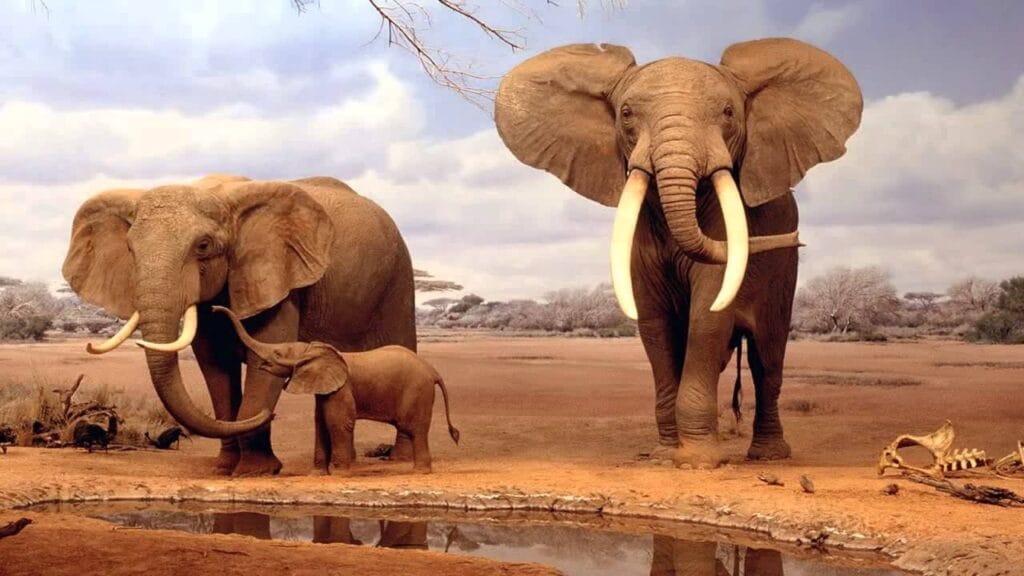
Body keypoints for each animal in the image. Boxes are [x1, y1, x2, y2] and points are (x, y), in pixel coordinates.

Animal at [62, 174, 417, 476]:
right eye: (130, 249)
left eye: (203, 246)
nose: (272, 414)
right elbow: (215, 367)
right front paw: (225, 469)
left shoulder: (277, 277)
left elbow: (265, 356)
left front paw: (255, 472)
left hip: (398, 277)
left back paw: (401, 461)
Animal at [214, 305, 460, 474]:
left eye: (278, 354)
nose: (214, 308)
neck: (312, 349)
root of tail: (433, 371)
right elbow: (320, 423)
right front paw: (318, 474)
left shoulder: (342, 389)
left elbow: (337, 422)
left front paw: (340, 474)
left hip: (417, 391)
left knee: (415, 429)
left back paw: (420, 471)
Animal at [495, 39, 862, 468]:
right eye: (626, 113)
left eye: (728, 112)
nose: (797, 238)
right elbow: (654, 324)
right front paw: (664, 455)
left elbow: (708, 316)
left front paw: (697, 462)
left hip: (784, 273)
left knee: (767, 357)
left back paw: (768, 456)